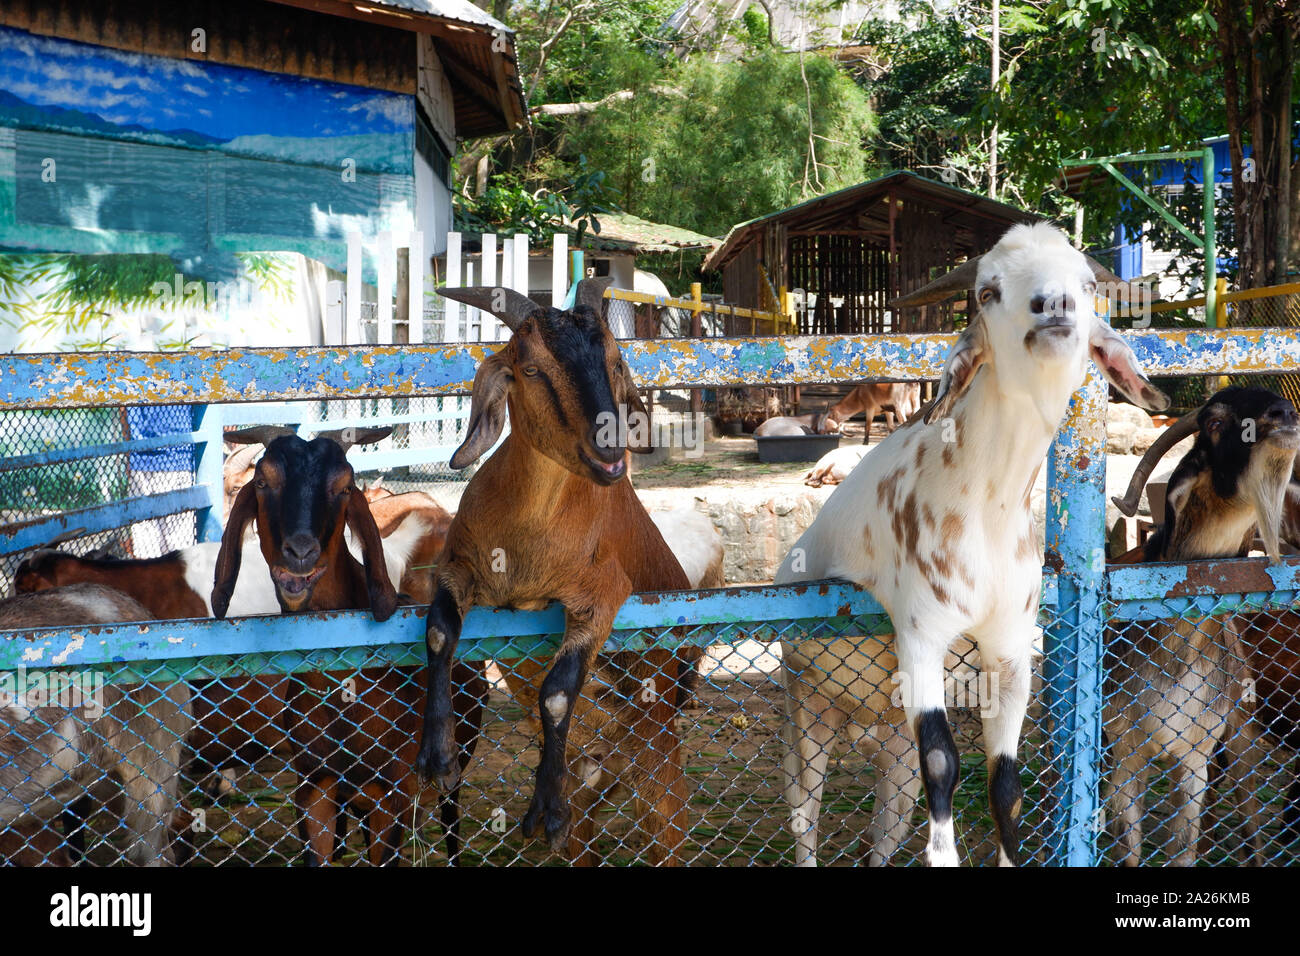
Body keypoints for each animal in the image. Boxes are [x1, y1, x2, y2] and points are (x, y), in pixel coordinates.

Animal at [212, 425, 485, 866]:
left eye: (343, 487)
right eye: (263, 481)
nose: (301, 552)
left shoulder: (392, 796)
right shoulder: (314, 788)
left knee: (451, 822)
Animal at [417, 278, 697, 865]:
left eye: (616, 360)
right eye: (531, 369)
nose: (611, 448)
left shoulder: (604, 592)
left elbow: (558, 690)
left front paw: (543, 809)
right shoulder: (456, 567)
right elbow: (438, 633)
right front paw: (438, 757)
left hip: (657, 754)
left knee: (669, 831)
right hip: (598, 785)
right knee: (584, 833)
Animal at [775, 223, 1168, 866]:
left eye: (1088, 285)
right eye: (987, 291)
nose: (1054, 306)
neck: (984, 507)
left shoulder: (1009, 650)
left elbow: (1005, 782)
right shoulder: (921, 636)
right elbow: (942, 764)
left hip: (888, 738)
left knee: (886, 823)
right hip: (806, 704)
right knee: (804, 810)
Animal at [1107, 386, 1298, 864]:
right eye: (1214, 423)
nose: (1284, 414)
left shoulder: (1194, 754)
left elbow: (1183, 849)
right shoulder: (1124, 751)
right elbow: (1129, 848)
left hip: (1242, 728)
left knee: (1248, 806)